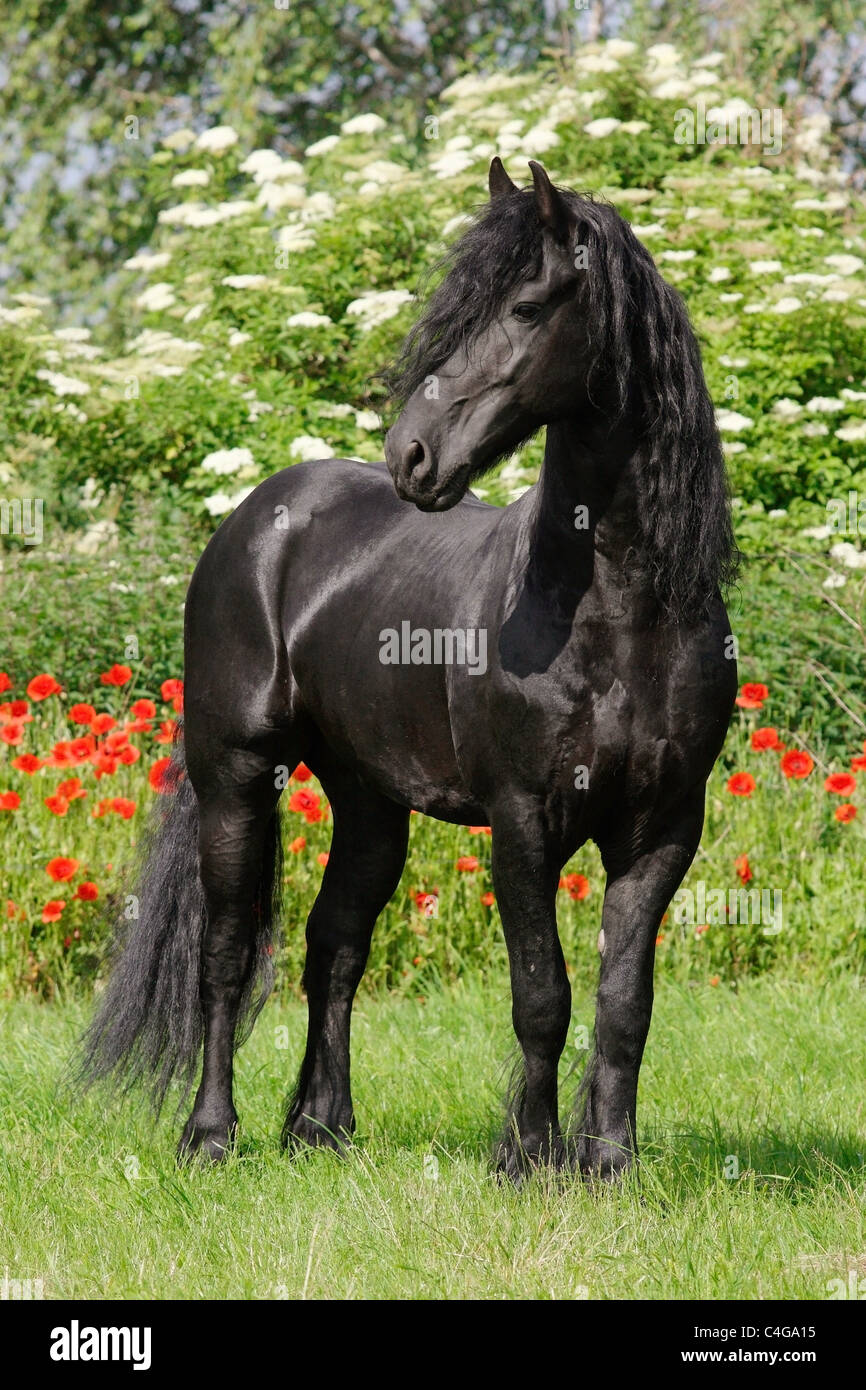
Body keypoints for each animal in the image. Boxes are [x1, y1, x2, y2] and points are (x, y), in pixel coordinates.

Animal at [78, 158, 738, 1182]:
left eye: (528, 307)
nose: (412, 456)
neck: (619, 615)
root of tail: (261, 515)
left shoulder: (663, 831)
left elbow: (625, 1006)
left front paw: (610, 1163)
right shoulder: (523, 822)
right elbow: (542, 996)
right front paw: (531, 1158)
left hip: (371, 805)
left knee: (334, 947)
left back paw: (320, 1127)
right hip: (237, 778)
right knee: (227, 956)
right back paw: (212, 1134)